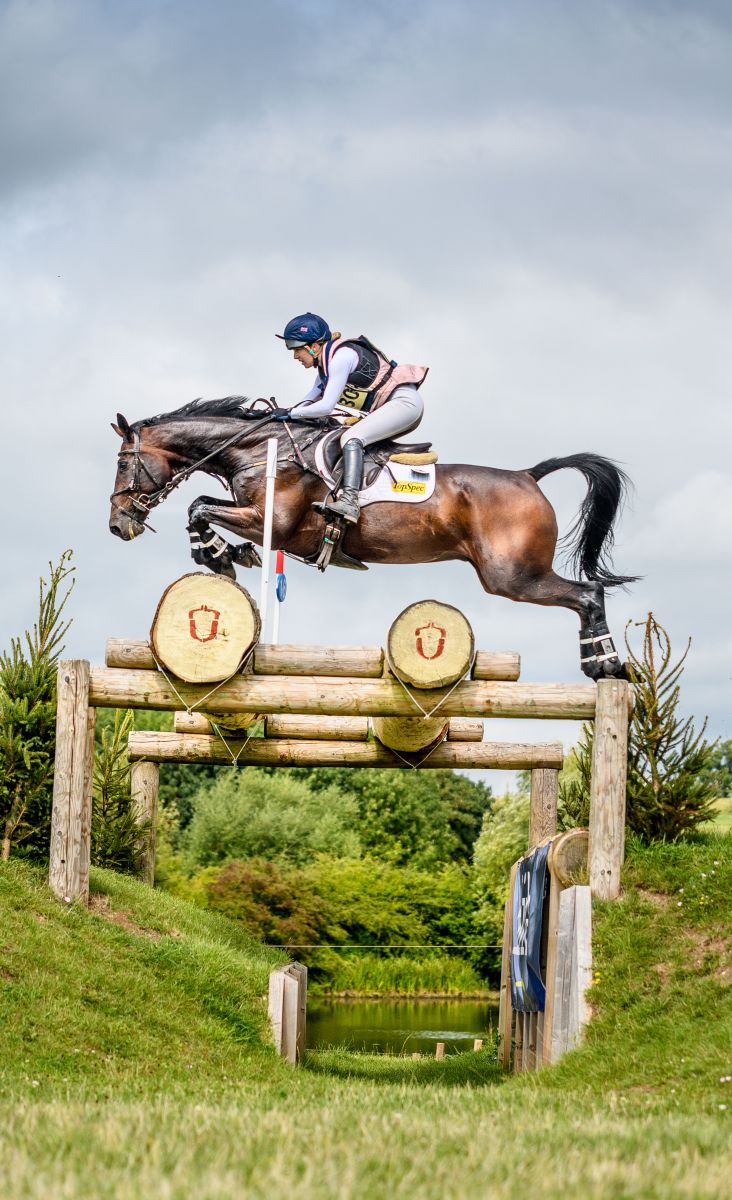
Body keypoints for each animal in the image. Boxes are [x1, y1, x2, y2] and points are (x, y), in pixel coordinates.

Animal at [109, 396, 637, 679]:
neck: (257, 449)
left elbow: (199, 506)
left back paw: (604, 664)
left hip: (512, 576)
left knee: (588, 592)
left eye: (121, 464)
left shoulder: (271, 522)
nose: (117, 525)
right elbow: (201, 507)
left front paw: (220, 554)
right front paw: (223, 553)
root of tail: (528, 476)